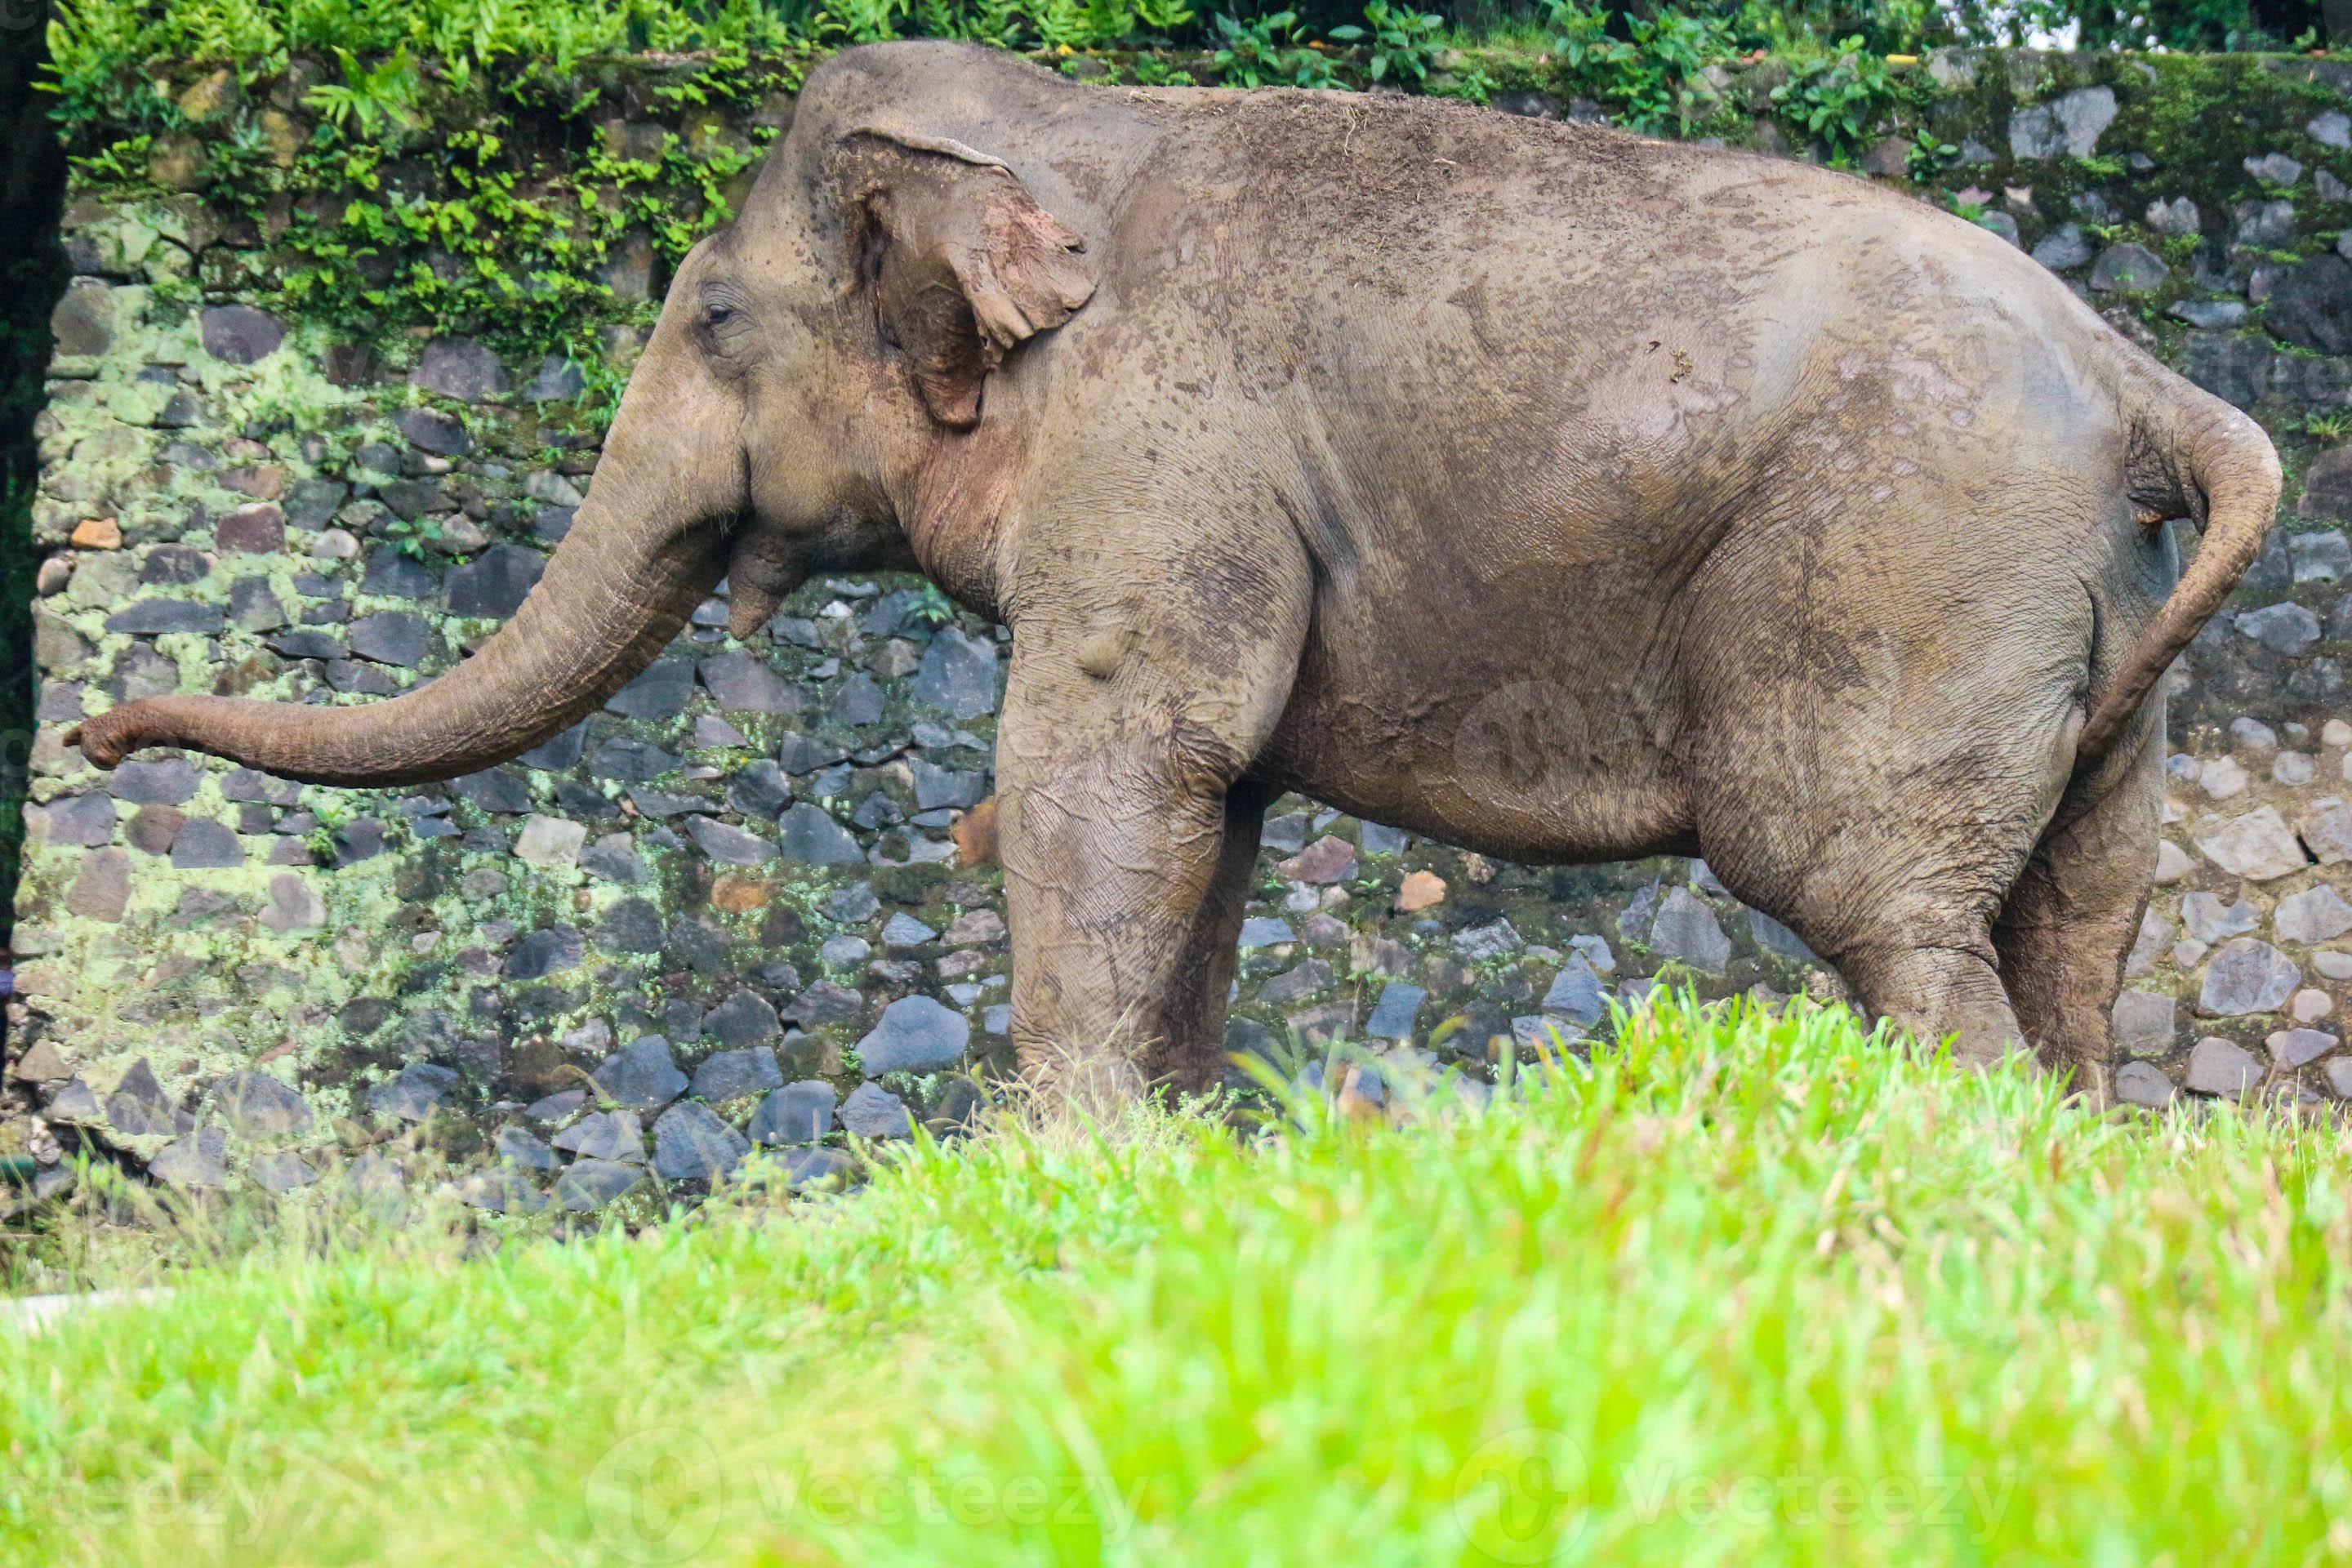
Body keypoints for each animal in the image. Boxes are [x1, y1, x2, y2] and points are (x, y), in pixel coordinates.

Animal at [71, 41, 2279, 1108]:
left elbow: (1107, 775)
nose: (91, 738)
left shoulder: (1160, 445)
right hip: (2084, 637)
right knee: (2072, 931)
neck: (1065, 132)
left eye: (707, 320)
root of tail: (2148, 375)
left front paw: (1056, 1164)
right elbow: (1214, 817)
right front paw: (1190, 1163)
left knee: (1871, 906)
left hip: (1901, 569)